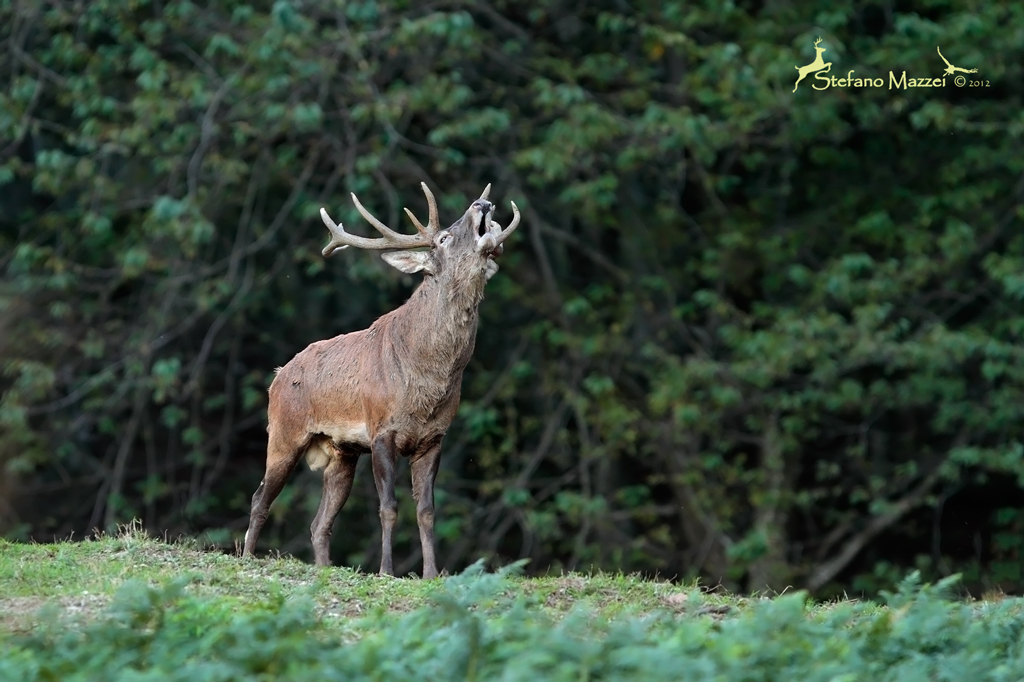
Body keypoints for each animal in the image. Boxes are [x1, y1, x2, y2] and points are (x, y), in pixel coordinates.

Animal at [241, 182, 519, 579]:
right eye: (444, 237)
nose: (482, 203)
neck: (428, 379)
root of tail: (278, 377)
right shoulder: (381, 430)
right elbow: (388, 507)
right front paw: (387, 570)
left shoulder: (434, 438)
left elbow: (426, 510)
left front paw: (431, 573)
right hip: (284, 431)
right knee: (260, 497)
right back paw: (247, 557)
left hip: (341, 452)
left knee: (319, 523)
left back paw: (324, 567)